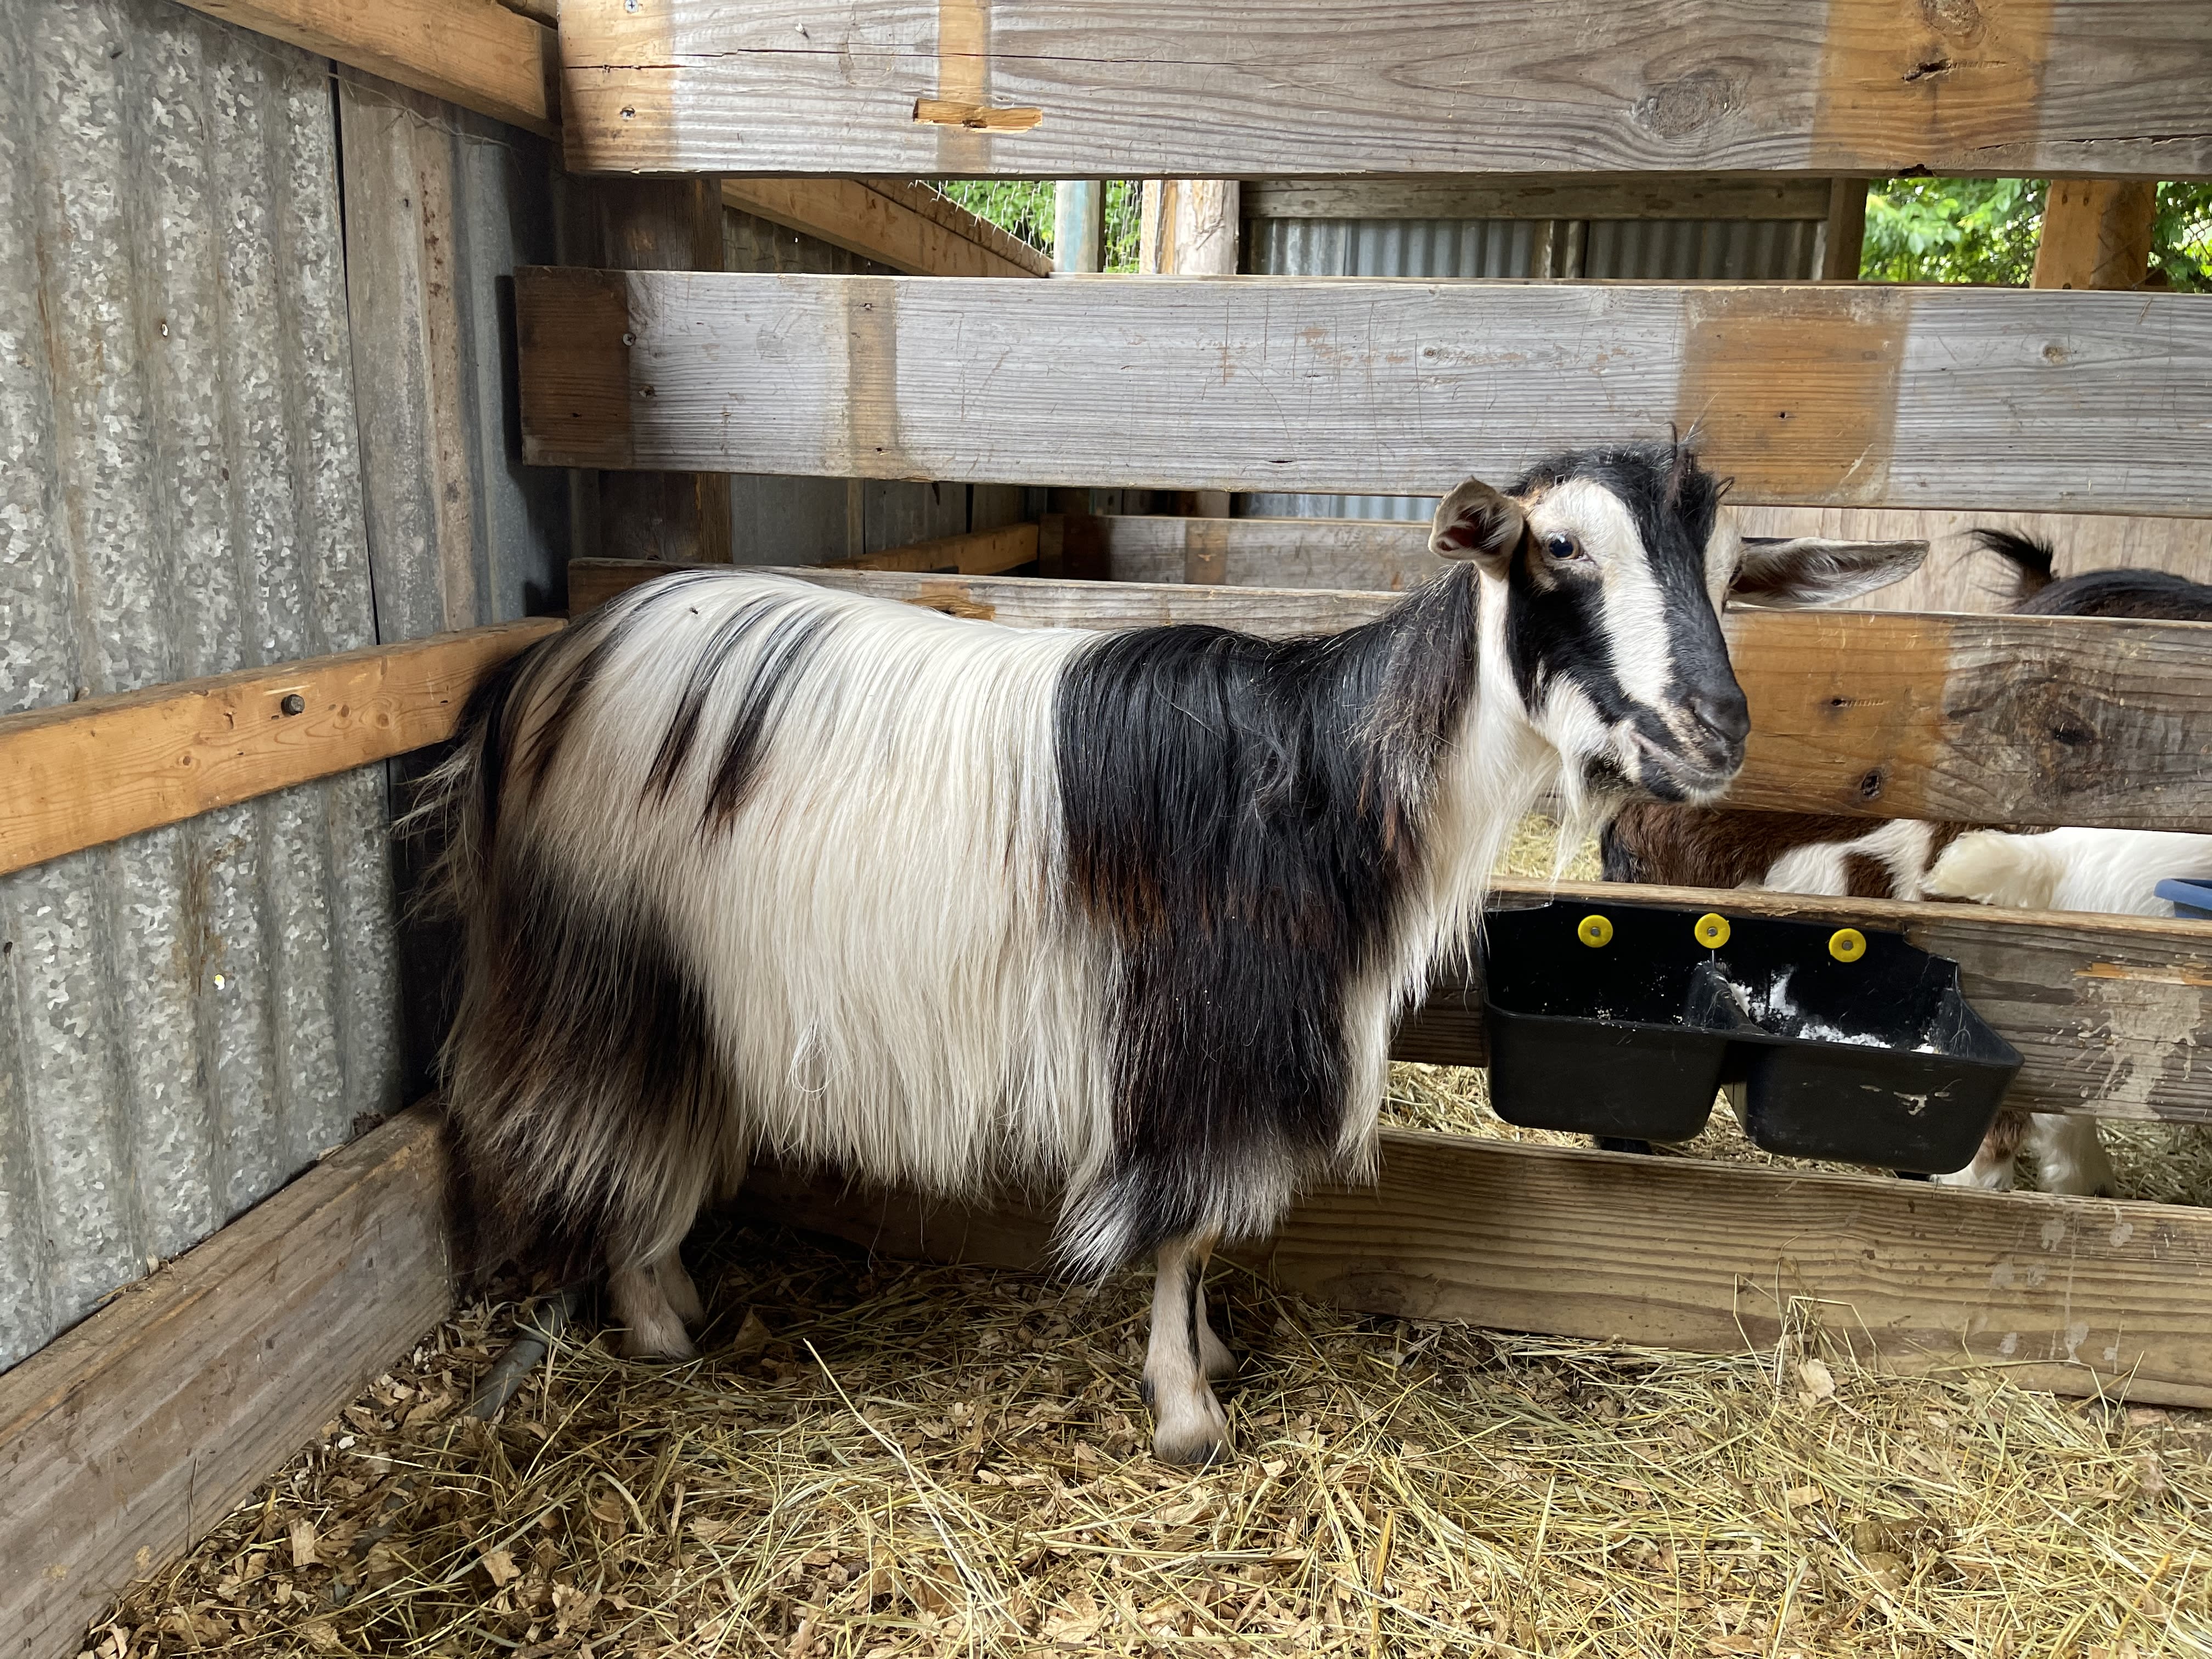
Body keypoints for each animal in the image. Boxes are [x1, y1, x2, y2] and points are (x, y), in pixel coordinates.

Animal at [418, 441, 1914, 1464]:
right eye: (1559, 551)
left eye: (1733, 579)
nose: (1714, 734)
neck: (1330, 785)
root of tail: (539, 673)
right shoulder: (1202, 1033)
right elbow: (1187, 1226)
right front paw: (1187, 1406)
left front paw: (1209, 1362)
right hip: (604, 954)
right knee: (602, 1115)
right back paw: (660, 1325)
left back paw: (677, 1290)